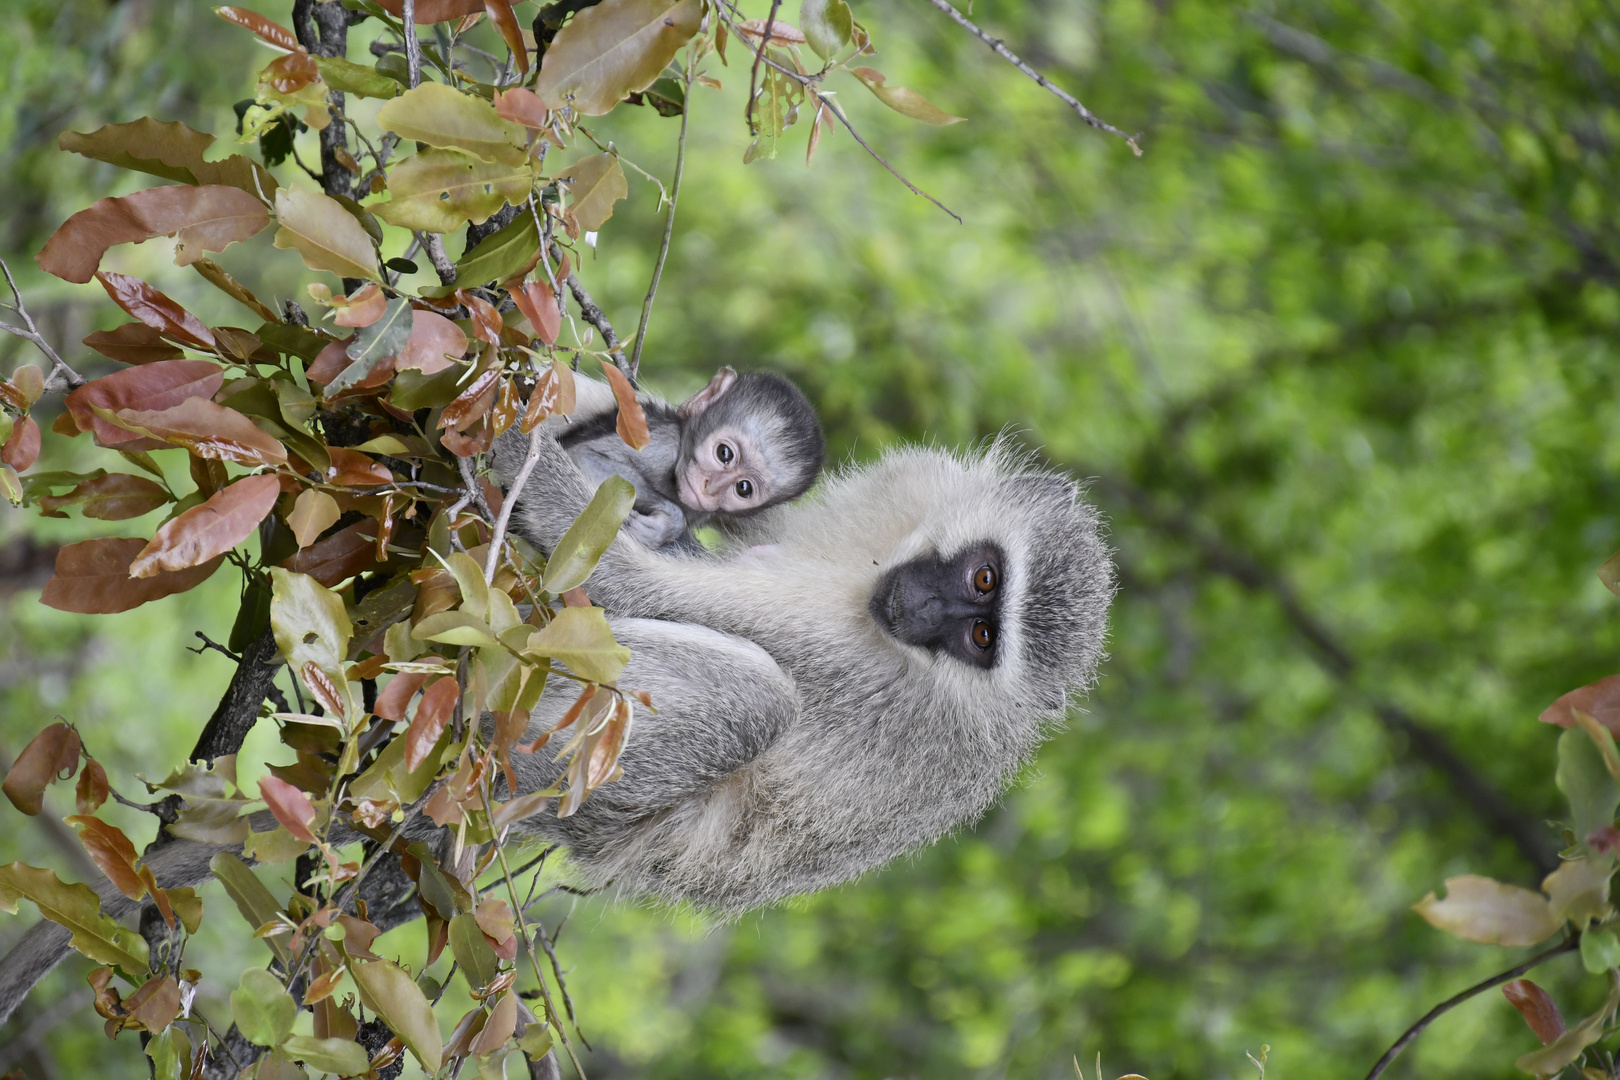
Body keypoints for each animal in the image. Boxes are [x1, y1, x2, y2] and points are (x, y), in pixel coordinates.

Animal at [0, 435, 1113, 1022]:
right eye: (985, 585)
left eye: (981, 631)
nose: (922, 613)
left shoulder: (860, 658)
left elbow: (630, 585)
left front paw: (506, 442)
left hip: (547, 758)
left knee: (753, 693)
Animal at [560, 367, 825, 549]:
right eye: (724, 453)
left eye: (743, 488)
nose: (710, 487)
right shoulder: (661, 445)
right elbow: (585, 456)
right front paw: (671, 520)